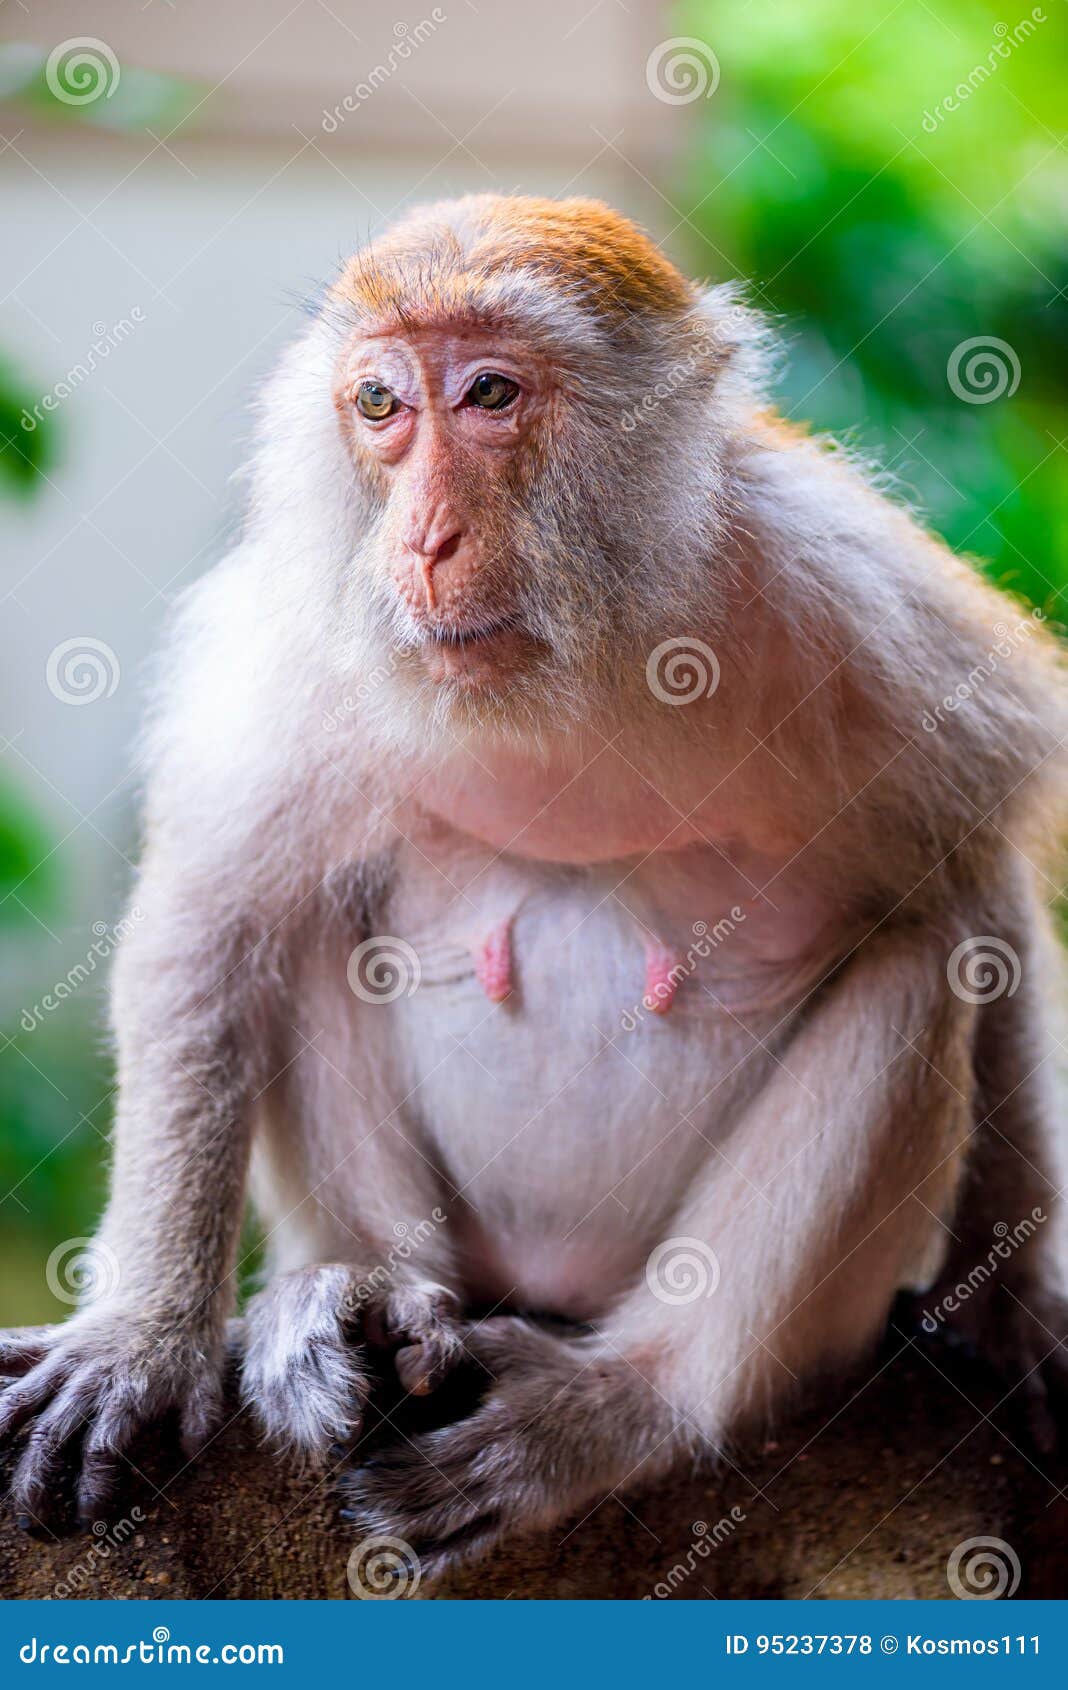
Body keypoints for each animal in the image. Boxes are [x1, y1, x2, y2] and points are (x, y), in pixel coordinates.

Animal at [2, 193, 1067, 1581]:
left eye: (492, 393)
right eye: (381, 403)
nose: (424, 536)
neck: (580, 661)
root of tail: (551, 1286)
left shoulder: (861, 604)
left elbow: (975, 877)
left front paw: (1013, 1299)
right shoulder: (305, 632)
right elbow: (214, 919)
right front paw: (142, 1335)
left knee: (921, 967)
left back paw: (622, 1401)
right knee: (303, 928)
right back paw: (350, 1308)